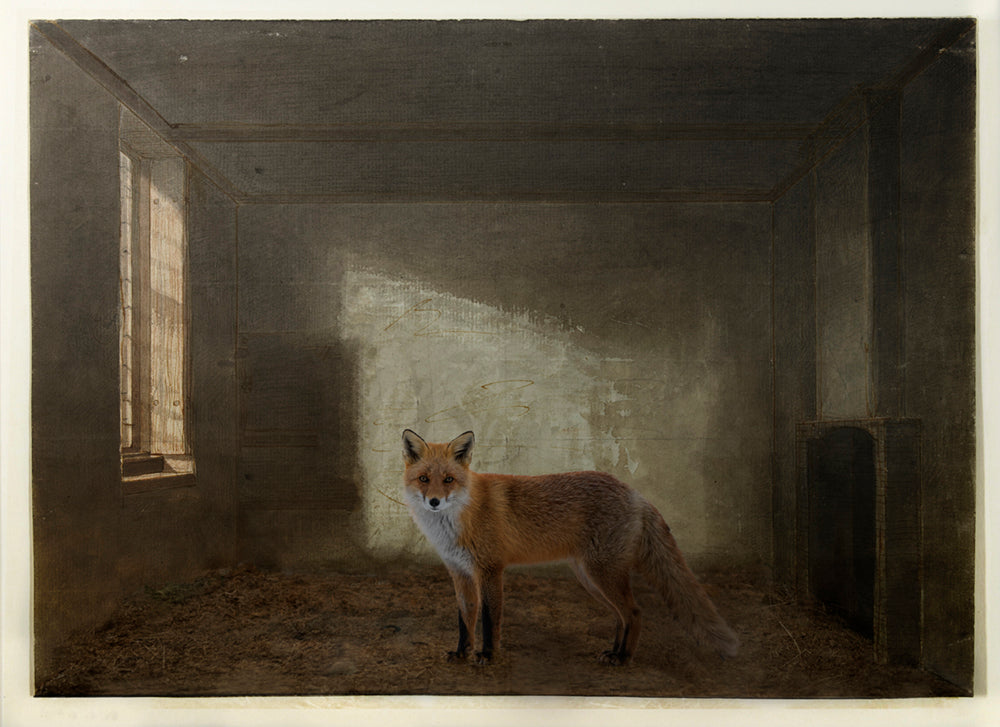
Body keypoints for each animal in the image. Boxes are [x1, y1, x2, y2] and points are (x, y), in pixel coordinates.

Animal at [401, 429, 740, 666]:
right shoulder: (459, 572)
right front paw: (462, 653)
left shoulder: (490, 570)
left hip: (602, 574)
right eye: (424, 479)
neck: (458, 519)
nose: (434, 502)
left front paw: (487, 655)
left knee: (635, 611)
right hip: (590, 579)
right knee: (622, 616)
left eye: (448, 480)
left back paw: (624, 658)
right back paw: (613, 652)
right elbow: (465, 618)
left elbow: (488, 619)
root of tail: (634, 492)